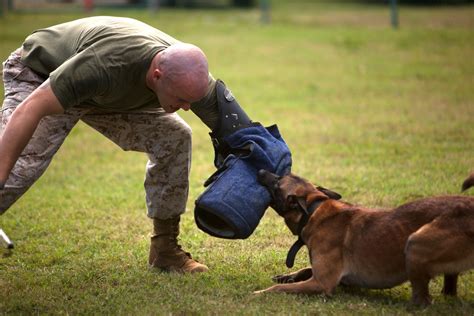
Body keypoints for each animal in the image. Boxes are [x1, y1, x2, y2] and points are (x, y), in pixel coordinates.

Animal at [256, 170, 474, 306]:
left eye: (277, 183)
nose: (259, 171)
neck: (314, 210)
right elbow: (303, 270)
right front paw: (286, 276)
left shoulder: (322, 283)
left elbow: (278, 288)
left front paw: (260, 293)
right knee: (447, 290)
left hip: (415, 244)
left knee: (423, 300)